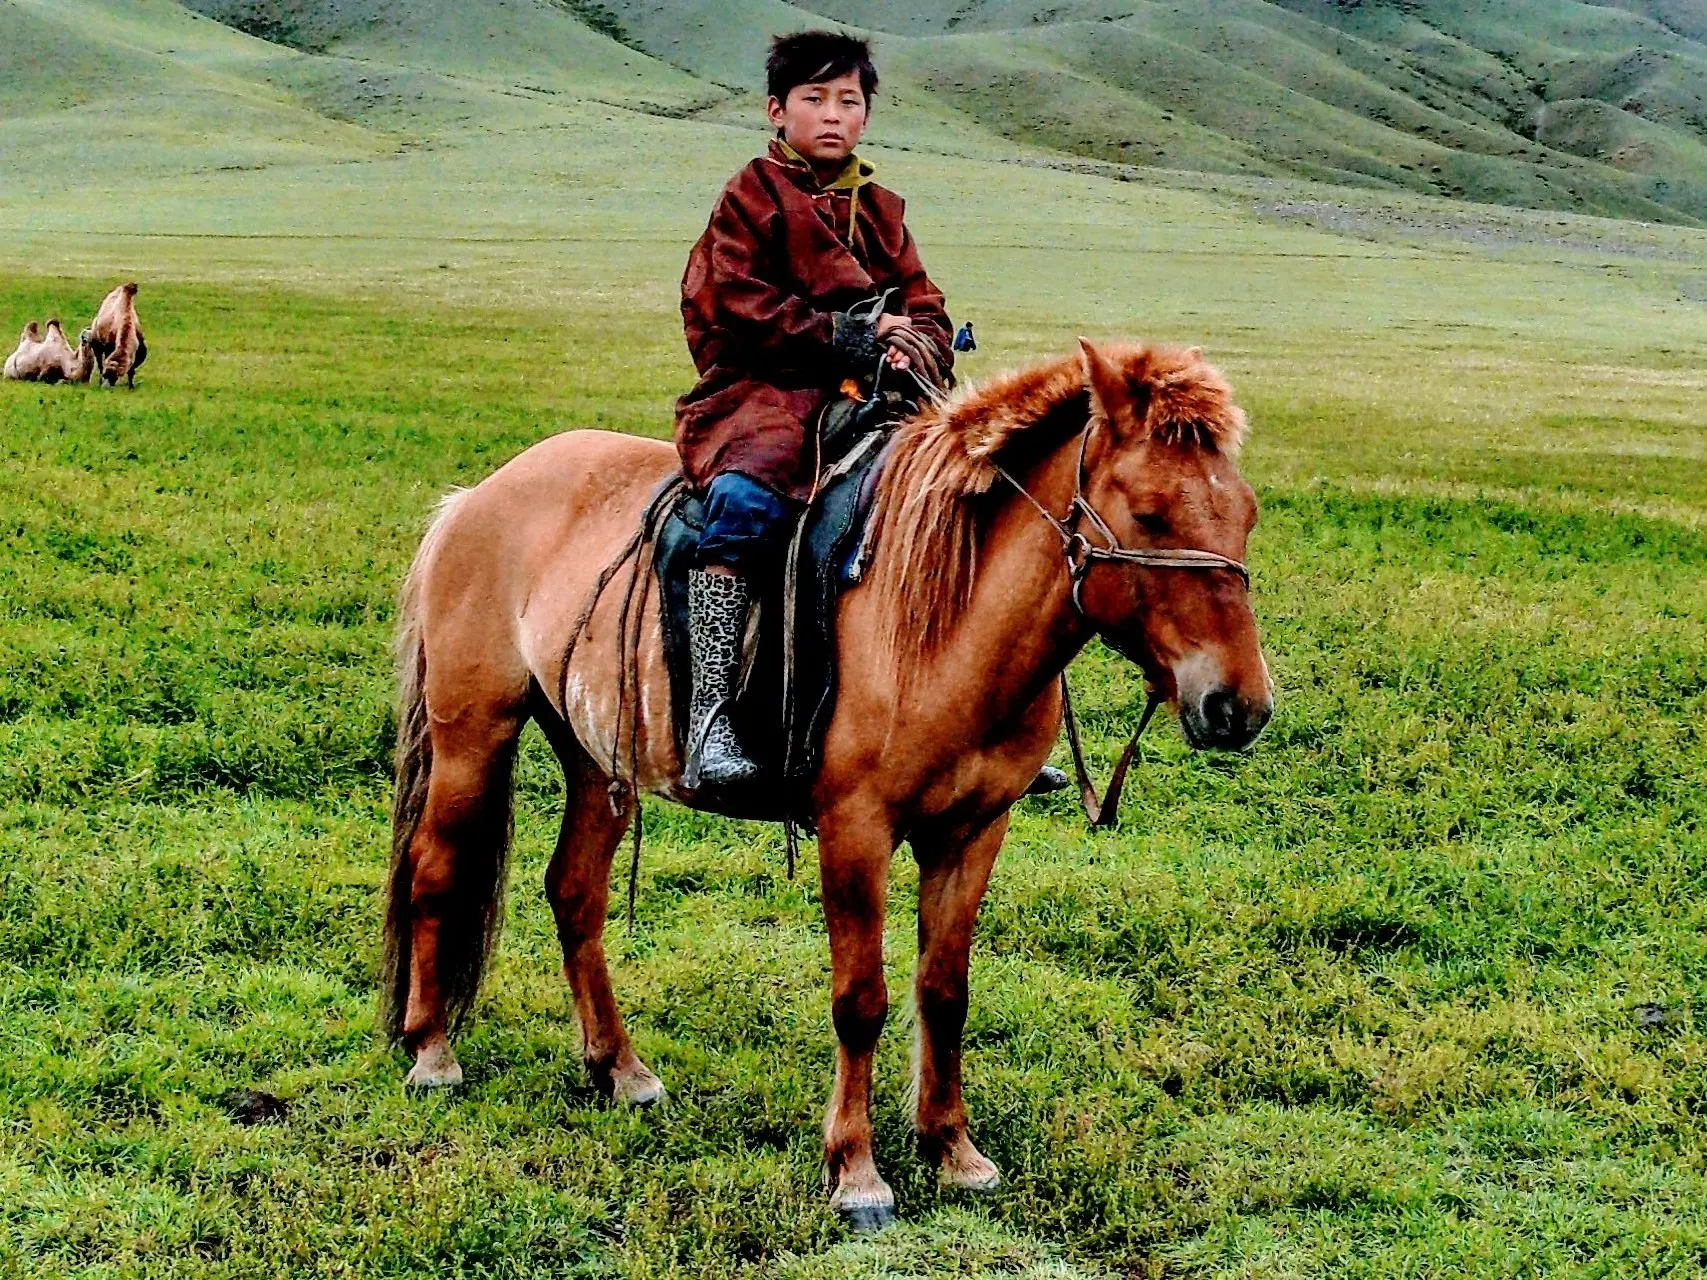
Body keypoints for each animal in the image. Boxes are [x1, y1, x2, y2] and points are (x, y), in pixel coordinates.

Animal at [380, 339, 1273, 1230]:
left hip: (597, 759)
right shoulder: (855, 828)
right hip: (473, 732)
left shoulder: (974, 829)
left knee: (574, 894)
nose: (1238, 707)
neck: (945, 616)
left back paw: (619, 1070)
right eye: (1149, 514)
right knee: (435, 871)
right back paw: (430, 1051)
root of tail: (477, 497)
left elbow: (943, 990)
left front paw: (952, 1150)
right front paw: (856, 1172)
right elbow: (860, 998)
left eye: (1246, 514)